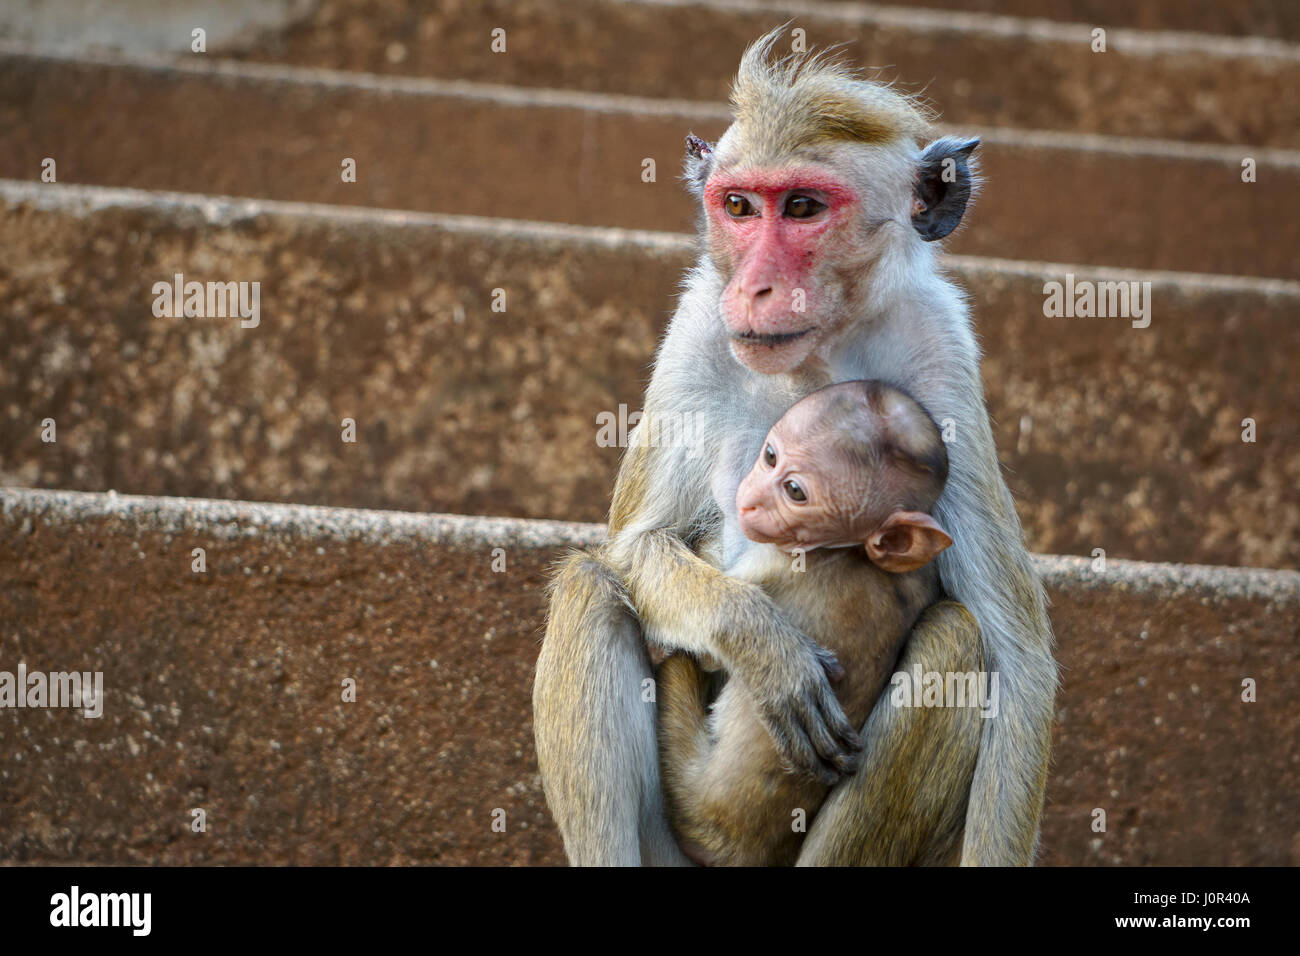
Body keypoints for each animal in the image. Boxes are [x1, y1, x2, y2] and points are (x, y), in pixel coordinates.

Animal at [656, 380, 983, 866]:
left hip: (690, 797)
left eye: (794, 491)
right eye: (770, 456)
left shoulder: (773, 560)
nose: (749, 500)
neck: (847, 549)